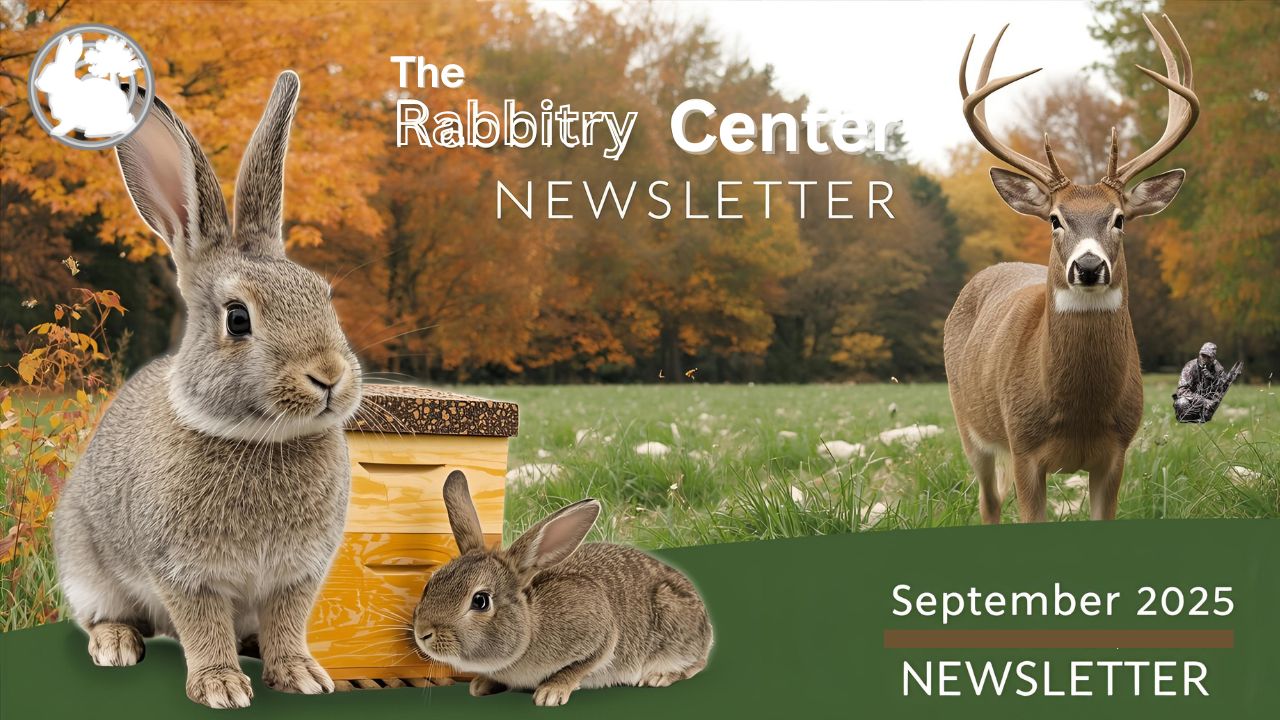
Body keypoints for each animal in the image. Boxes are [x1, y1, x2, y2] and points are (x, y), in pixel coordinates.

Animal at [53, 71, 361, 709]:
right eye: (238, 319)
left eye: (324, 295)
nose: (329, 375)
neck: (260, 438)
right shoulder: (182, 573)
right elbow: (202, 624)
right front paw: (221, 687)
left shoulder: (298, 575)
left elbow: (288, 621)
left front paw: (300, 675)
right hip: (86, 566)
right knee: (108, 615)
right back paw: (116, 645)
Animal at [412, 471, 713, 706]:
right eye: (431, 582)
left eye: (480, 601)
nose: (422, 633)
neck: (531, 623)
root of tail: (707, 626)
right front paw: (481, 685)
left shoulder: (600, 632)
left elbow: (585, 662)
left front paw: (551, 693)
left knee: (695, 664)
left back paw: (659, 676)